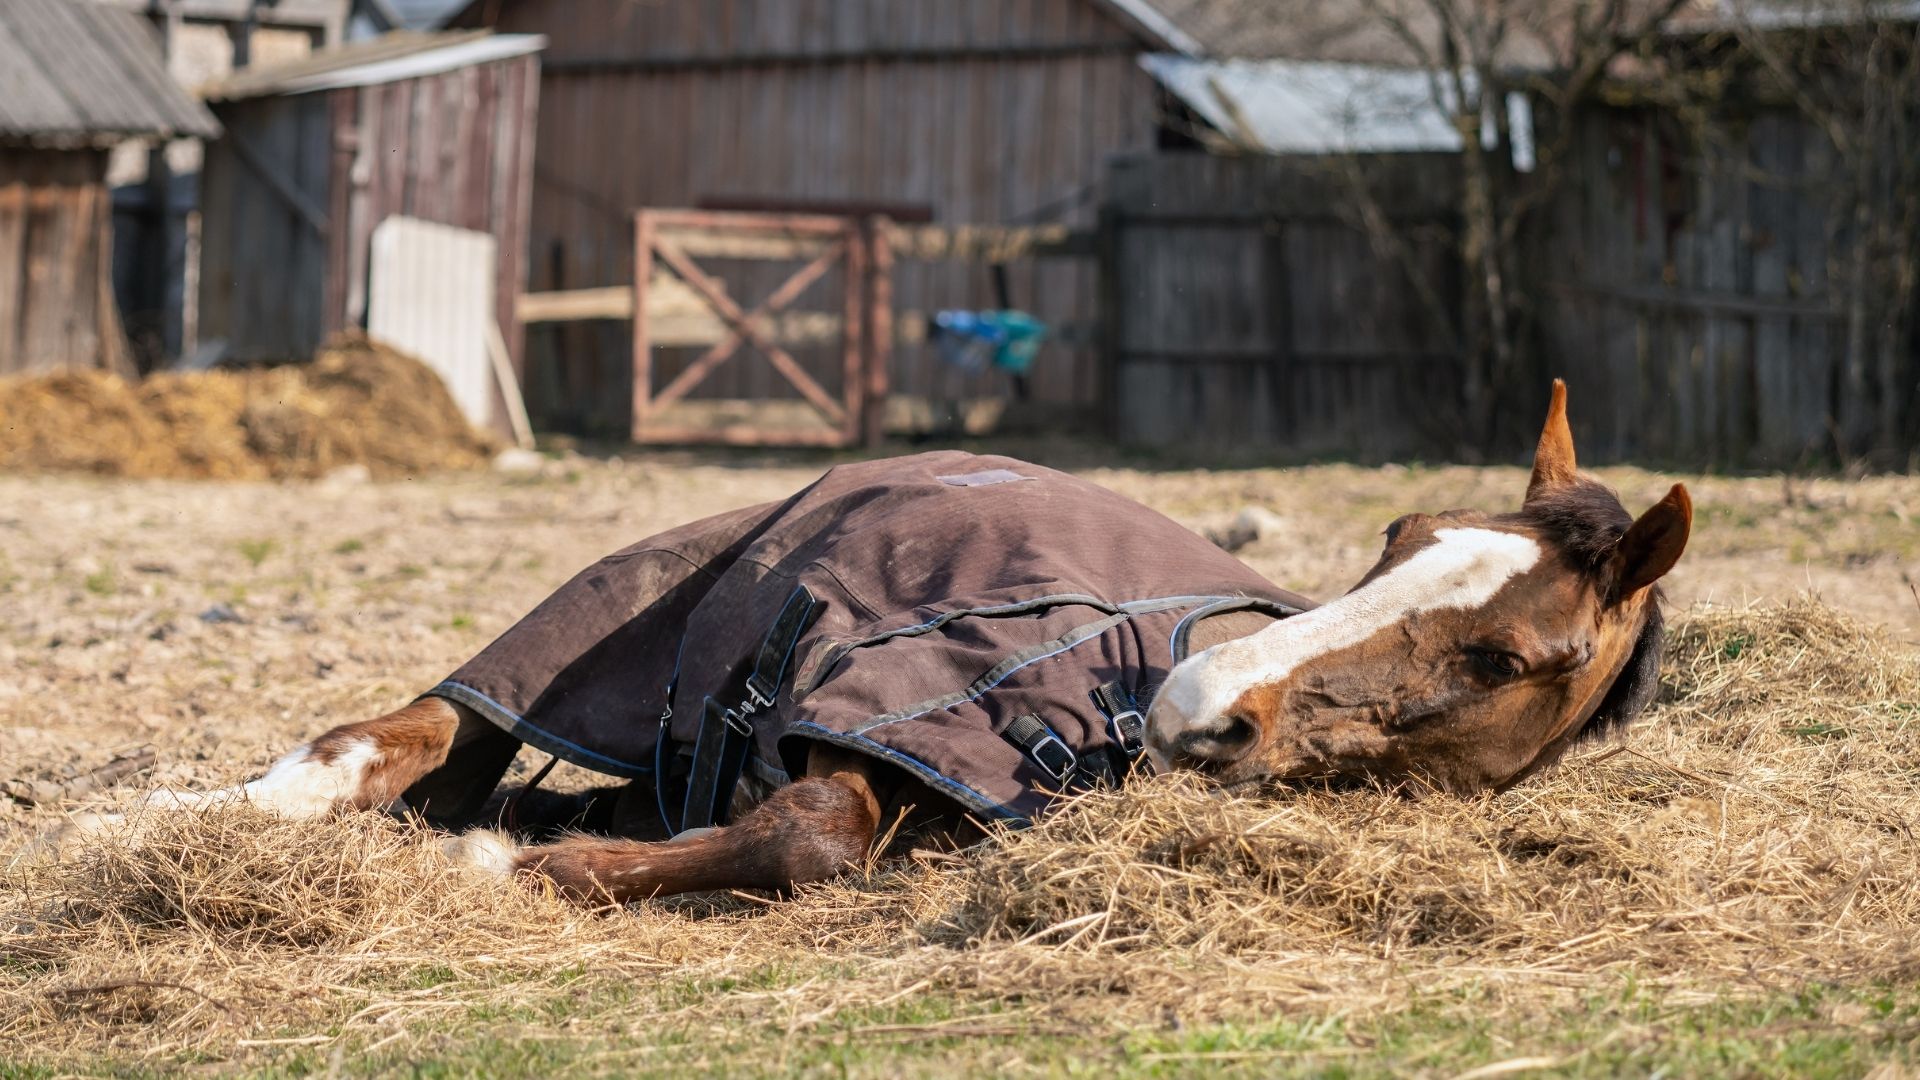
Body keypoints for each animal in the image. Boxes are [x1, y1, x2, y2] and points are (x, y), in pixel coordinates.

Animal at [69, 381, 1689, 904]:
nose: (1195, 705)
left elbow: (797, 835)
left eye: (1504, 661)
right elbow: (814, 832)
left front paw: (534, 858)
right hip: (592, 625)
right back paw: (143, 818)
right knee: (387, 741)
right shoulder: (881, 714)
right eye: (1398, 534)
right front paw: (517, 869)